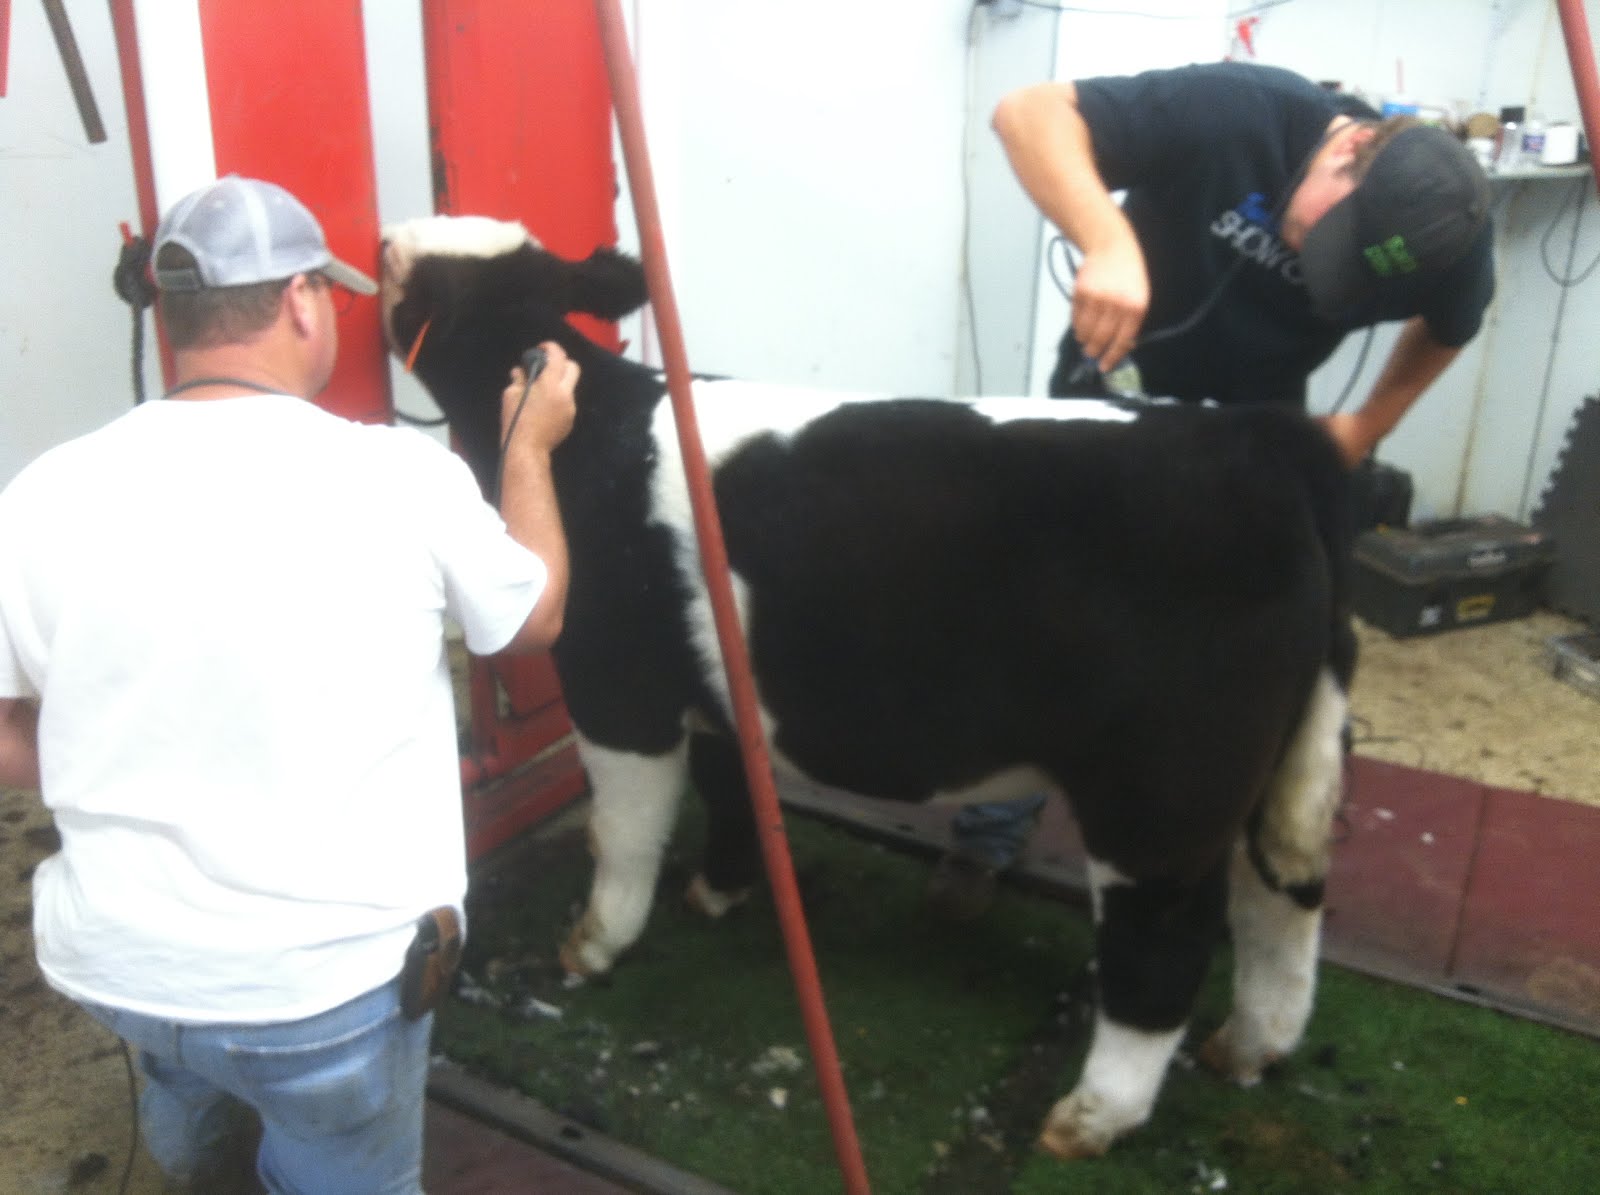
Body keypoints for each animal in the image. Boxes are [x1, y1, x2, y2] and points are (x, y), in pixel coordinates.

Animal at [378, 215, 1357, 1160]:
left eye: (419, 281)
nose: (383, 239)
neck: (592, 434)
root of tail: (1258, 438)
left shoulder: (618, 692)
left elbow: (620, 832)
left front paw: (595, 942)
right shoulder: (719, 689)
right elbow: (732, 788)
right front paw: (718, 892)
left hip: (1162, 792)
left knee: (1168, 938)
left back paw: (1091, 1114)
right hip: (1283, 760)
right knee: (1284, 899)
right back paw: (1248, 1046)